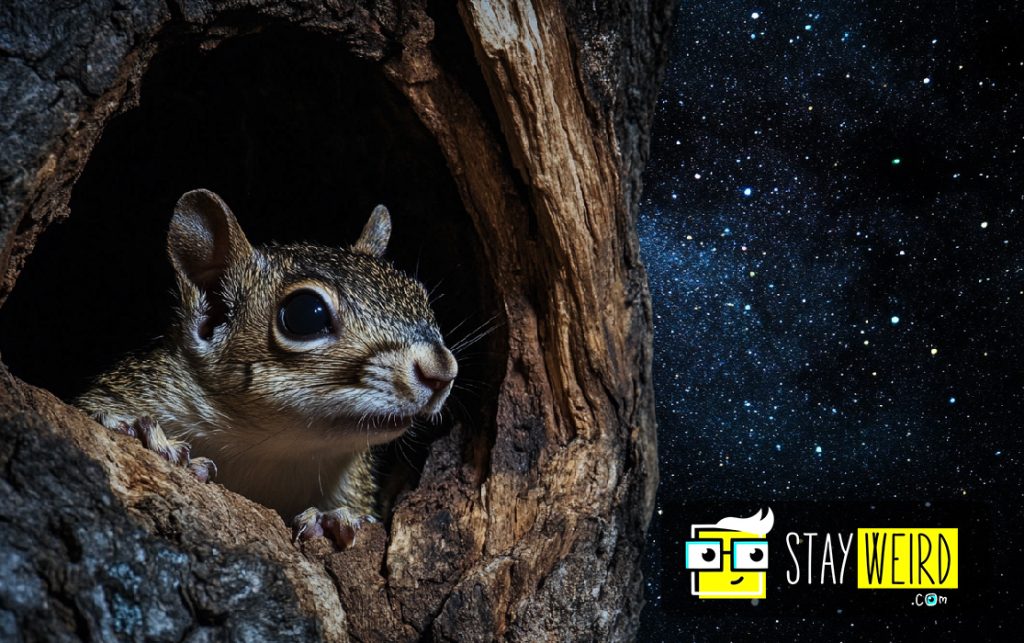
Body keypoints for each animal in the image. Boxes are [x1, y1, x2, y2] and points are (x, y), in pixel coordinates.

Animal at [75, 189, 457, 548]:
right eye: (305, 314)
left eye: (419, 294)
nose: (441, 371)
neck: (270, 449)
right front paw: (145, 437)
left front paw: (332, 520)